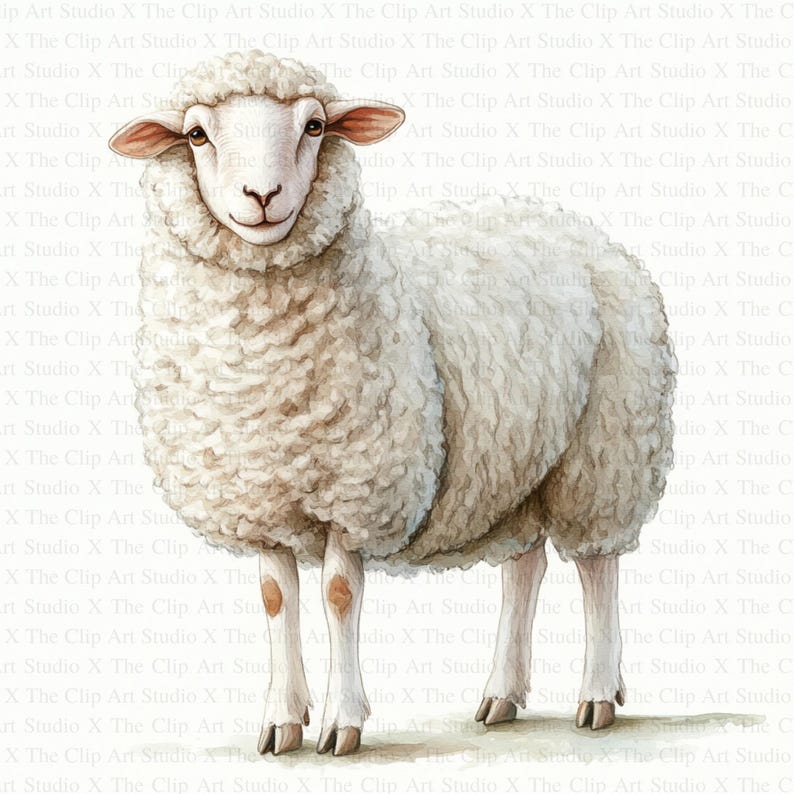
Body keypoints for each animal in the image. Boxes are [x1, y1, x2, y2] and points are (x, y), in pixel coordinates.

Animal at [109, 50, 676, 757]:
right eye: (195, 135)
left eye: (315, 126)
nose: (261, 198)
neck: (261, 372)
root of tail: (574, 225)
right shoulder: (260, 493)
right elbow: (274, 599)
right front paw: (281, 721)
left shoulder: (359, 489)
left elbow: (338, 594)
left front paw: (341, 722)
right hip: (517, 466)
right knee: (524, 567)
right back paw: (502, 695)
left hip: (606, 452)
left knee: (598, 570)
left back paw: (596, 695)